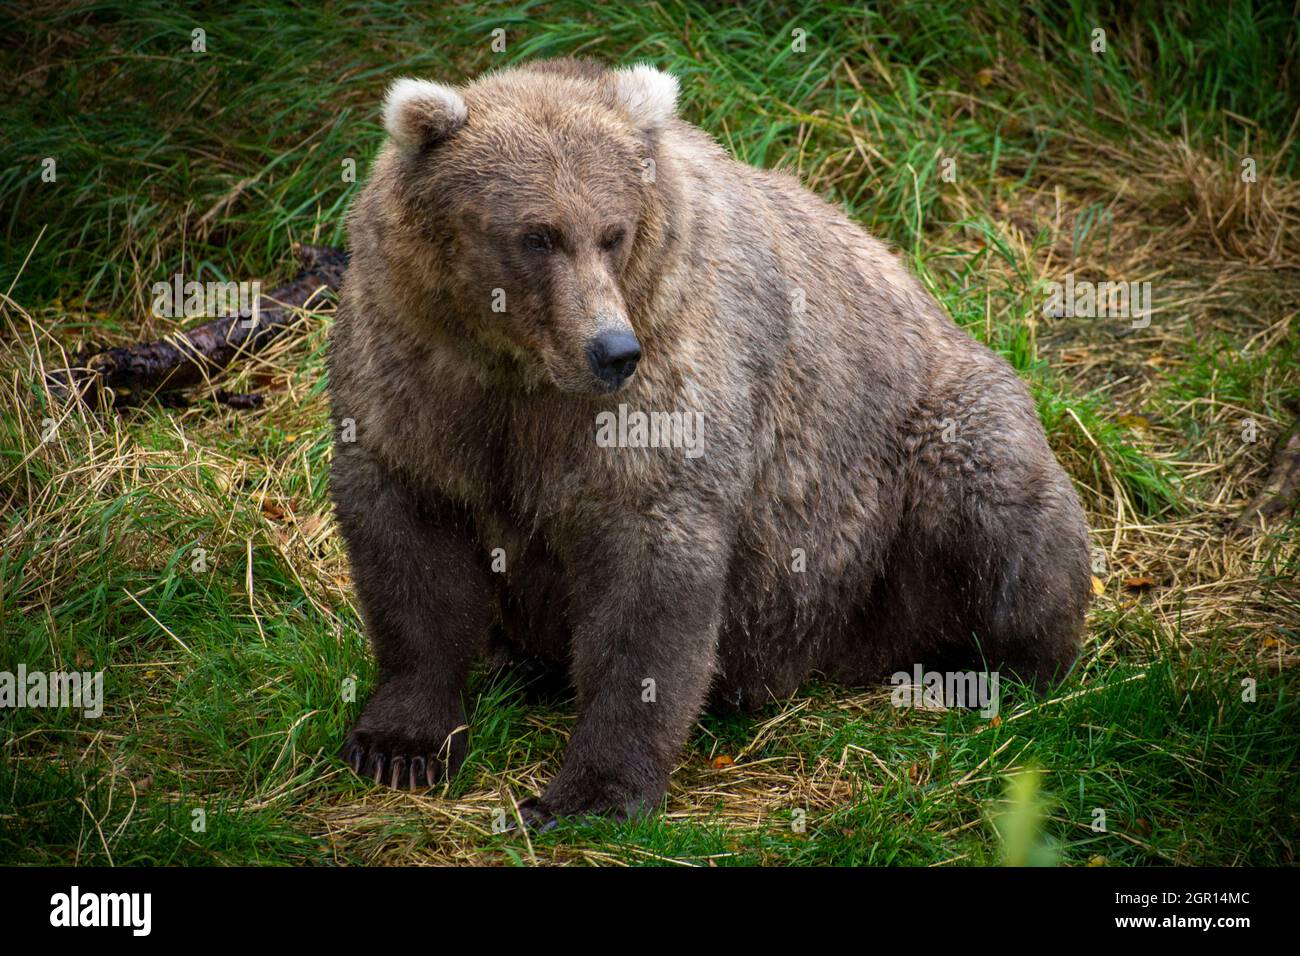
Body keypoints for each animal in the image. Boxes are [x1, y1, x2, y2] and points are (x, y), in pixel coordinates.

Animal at [328, 57, 1092, 823]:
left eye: (612, 232)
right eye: (536, 235)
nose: (611, 350)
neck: (518, 369)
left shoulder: (661, 380)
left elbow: (650, 583)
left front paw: (589, 792)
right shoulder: (418, 377)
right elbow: (413, 552)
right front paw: (400, 744)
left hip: (926, 447)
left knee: (999, 516)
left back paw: (995, 669)